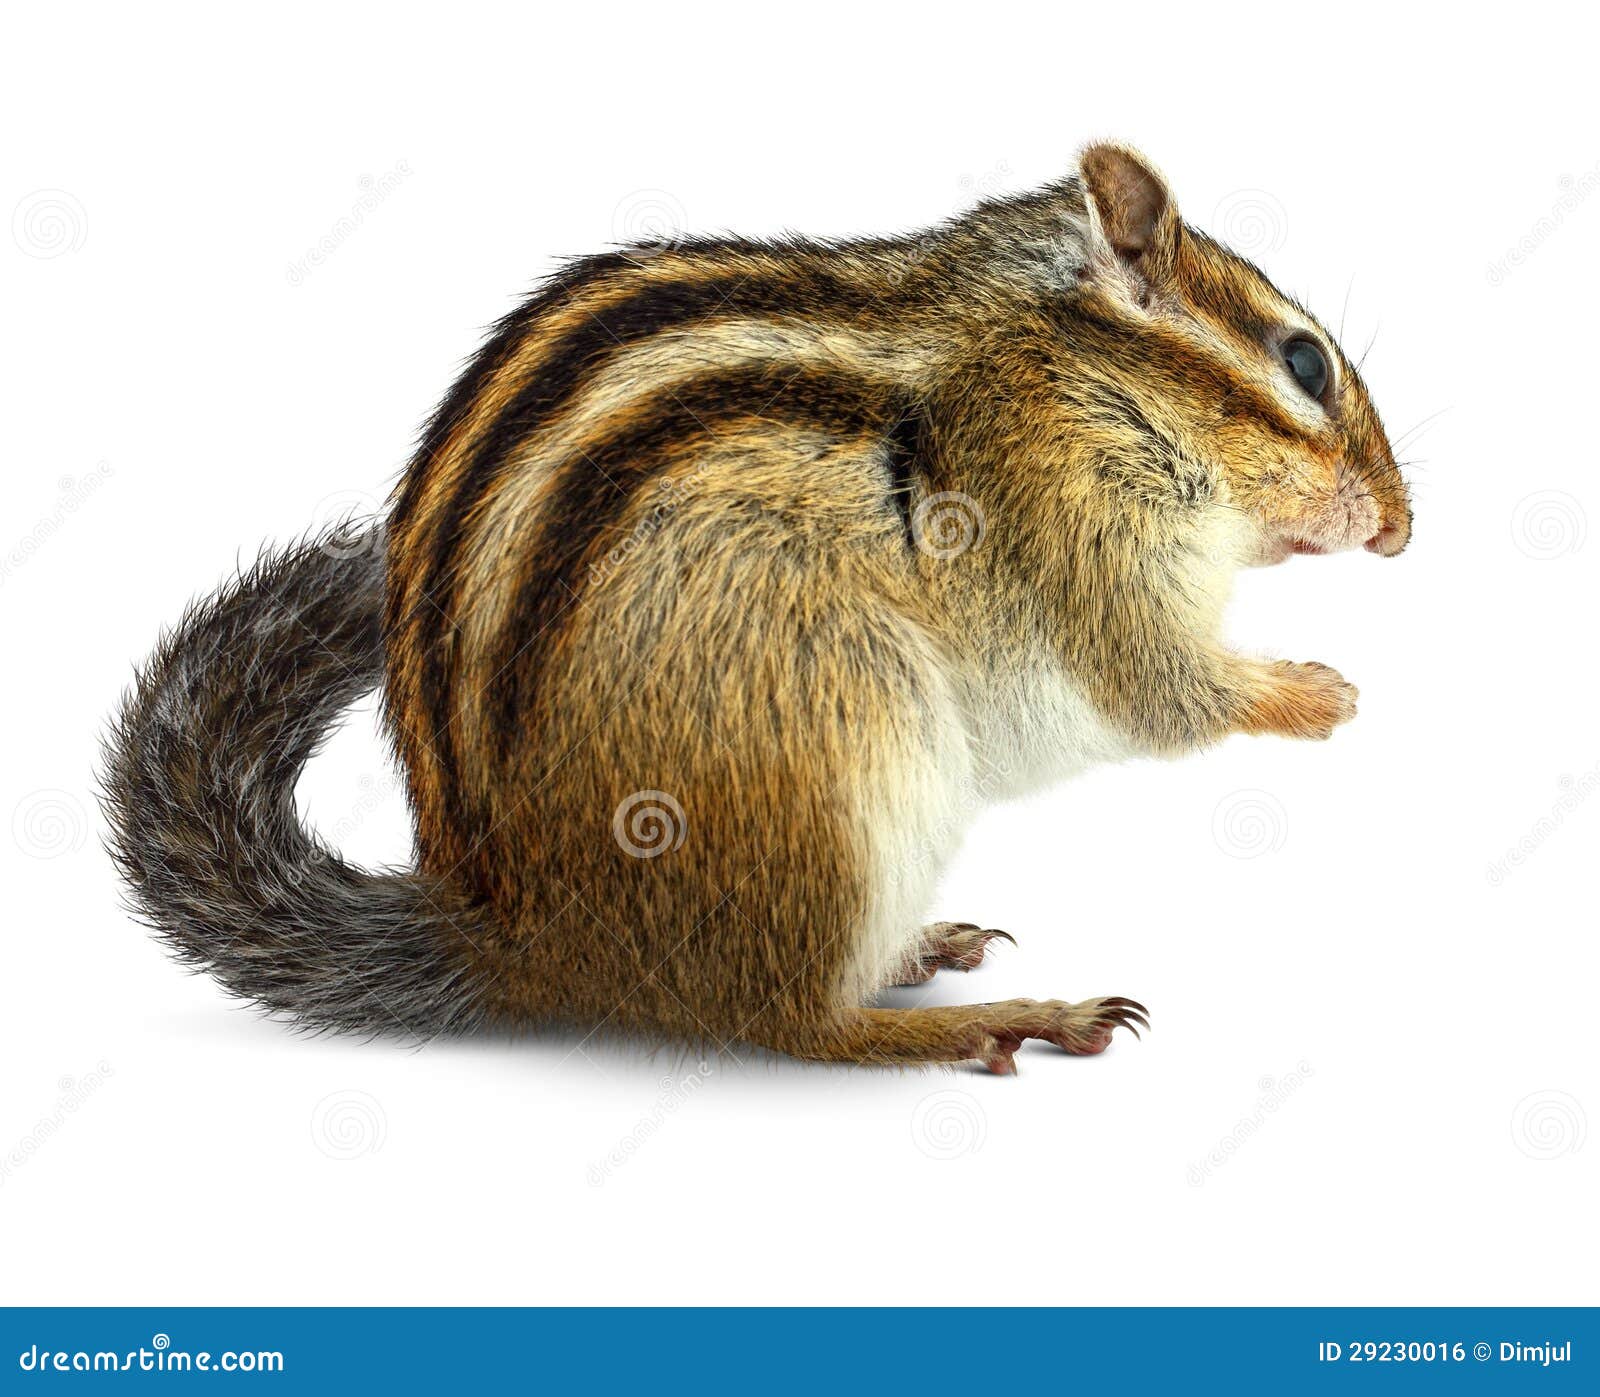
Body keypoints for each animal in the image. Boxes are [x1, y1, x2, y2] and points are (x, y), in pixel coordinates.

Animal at [102, 143, 1411, 1073]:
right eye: (1303, 361)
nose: (1400, 529)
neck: (1073, 371)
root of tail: (527, 943)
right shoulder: (1074, 533)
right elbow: (1160, 686)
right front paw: (1317, 693)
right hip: (839, 757)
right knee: (788, 1021)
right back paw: (986, 1019)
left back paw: (923, 952)